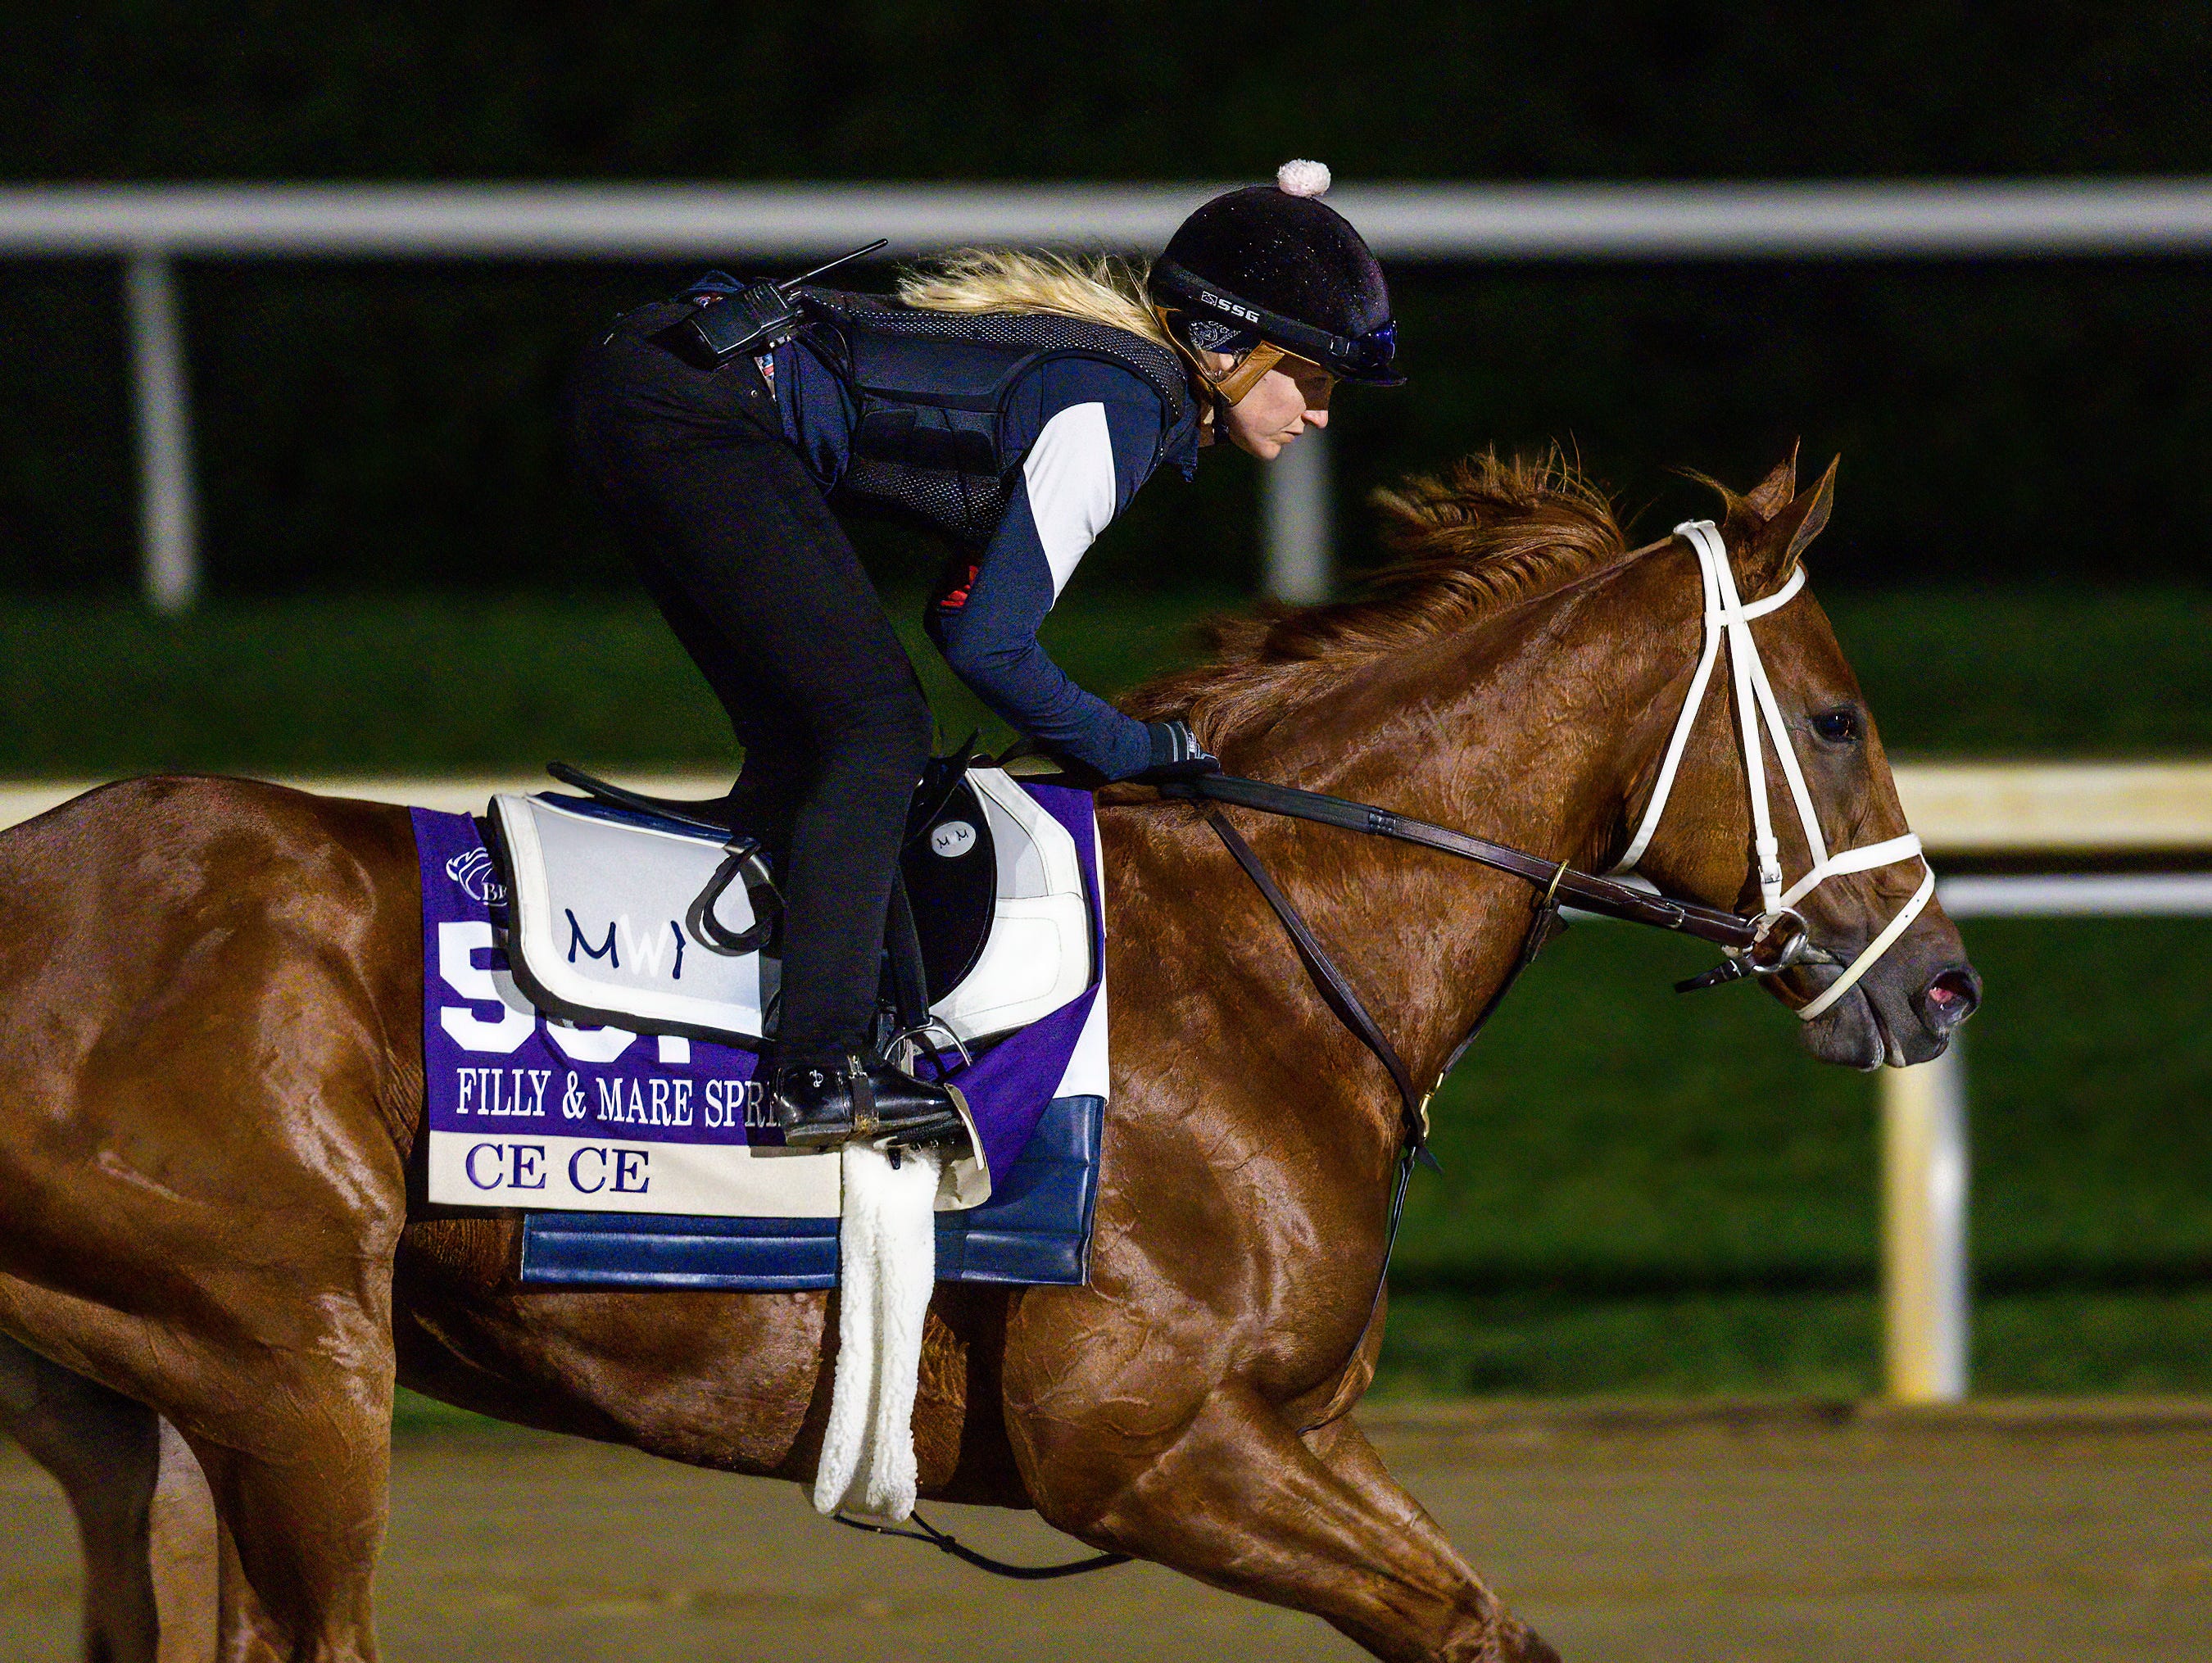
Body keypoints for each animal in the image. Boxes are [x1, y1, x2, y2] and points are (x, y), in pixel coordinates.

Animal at [0, 450, 1977, 1663]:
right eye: (1835, 719)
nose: (1944, 986)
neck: (1268, 950)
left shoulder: (1293, 1429)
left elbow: (1487, 1619)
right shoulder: (1146, 1439)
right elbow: (1453, 1617)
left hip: (140, 1391)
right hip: (297, 1359)